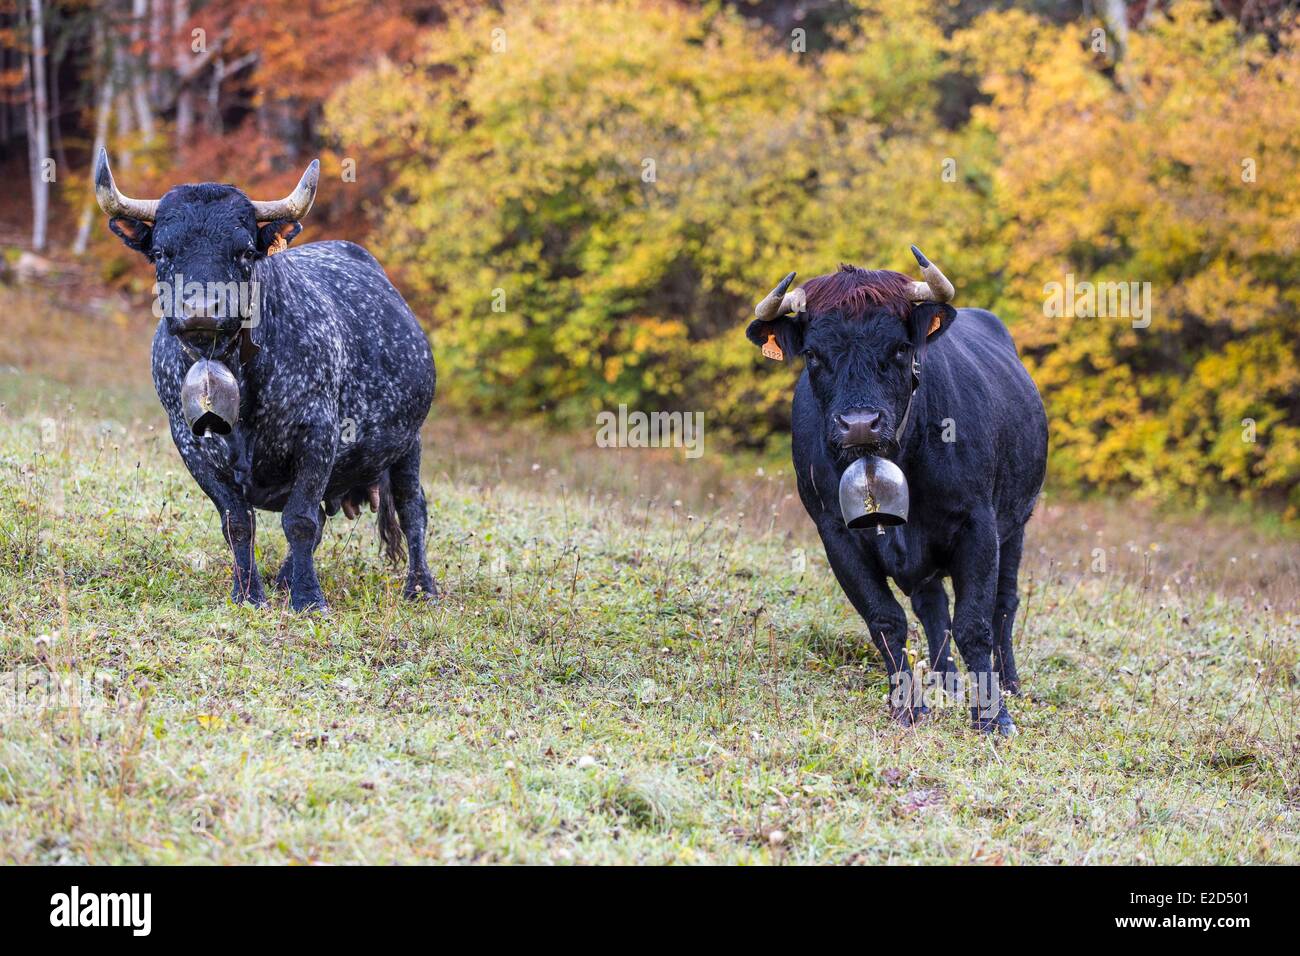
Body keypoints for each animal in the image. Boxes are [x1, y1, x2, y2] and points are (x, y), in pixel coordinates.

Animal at [95, 148, 438, 612]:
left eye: (243, 252)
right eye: (164, 251)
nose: (200, 309)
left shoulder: (319, 434)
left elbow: (301, 521)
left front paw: (309, 598)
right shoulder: (190, 444)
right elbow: (238, 522)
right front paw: (247, 592)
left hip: (408, 443)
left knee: (411, 508)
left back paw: (420, 587)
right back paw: (283, 578)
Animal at [746, 247, 1047, 733]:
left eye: (901, 348)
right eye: (812, 354)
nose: (859, 424)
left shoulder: (978, 525)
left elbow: (975, 623)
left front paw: (992, 715)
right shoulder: (835, 533)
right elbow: (886, 620)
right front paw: (907, 706)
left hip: (1016, 525)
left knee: (1004, 605)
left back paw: (1010, 683)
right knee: (932, 608)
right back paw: (948, 685)